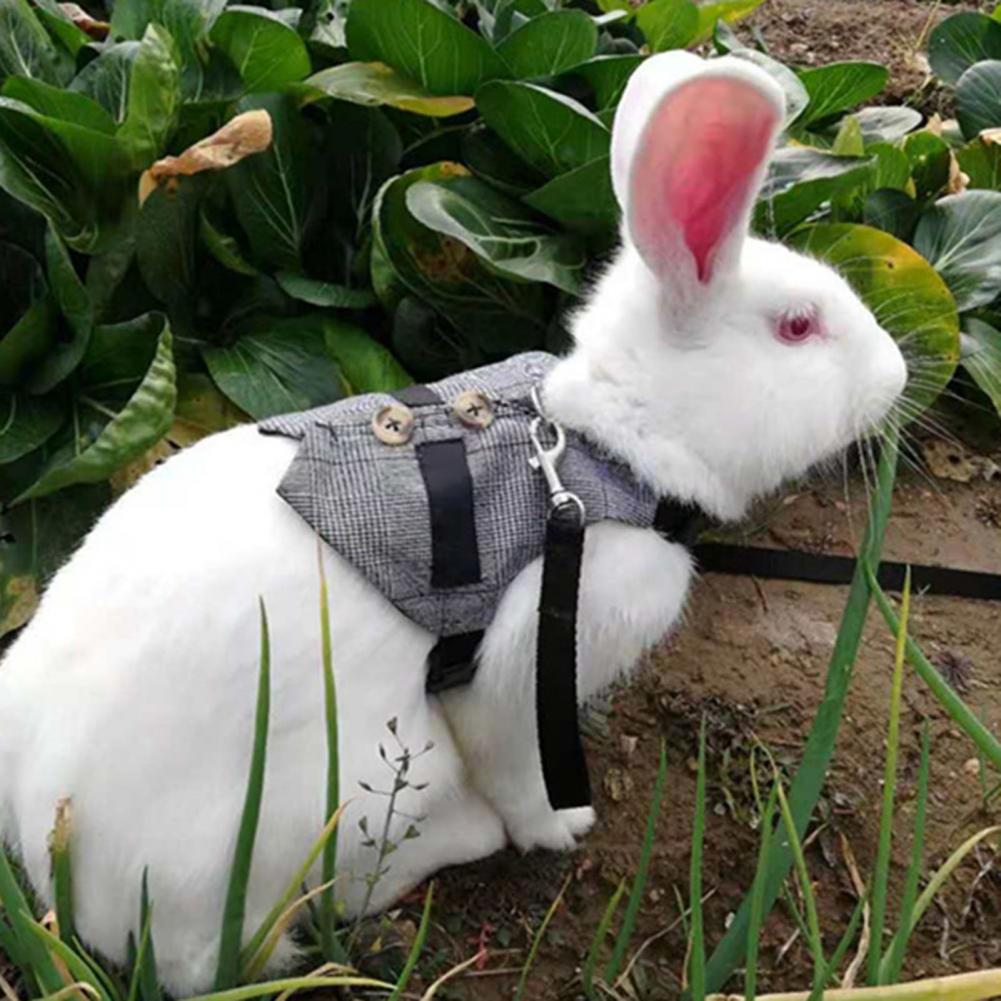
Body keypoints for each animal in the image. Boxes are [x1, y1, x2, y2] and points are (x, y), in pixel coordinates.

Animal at [0, 51, 907, 997]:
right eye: (797, 327)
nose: (896, 373)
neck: (605, 449)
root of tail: (55, 847)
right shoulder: (534, 657)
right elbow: (518, 769)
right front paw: (559, 828)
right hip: (345, 794)